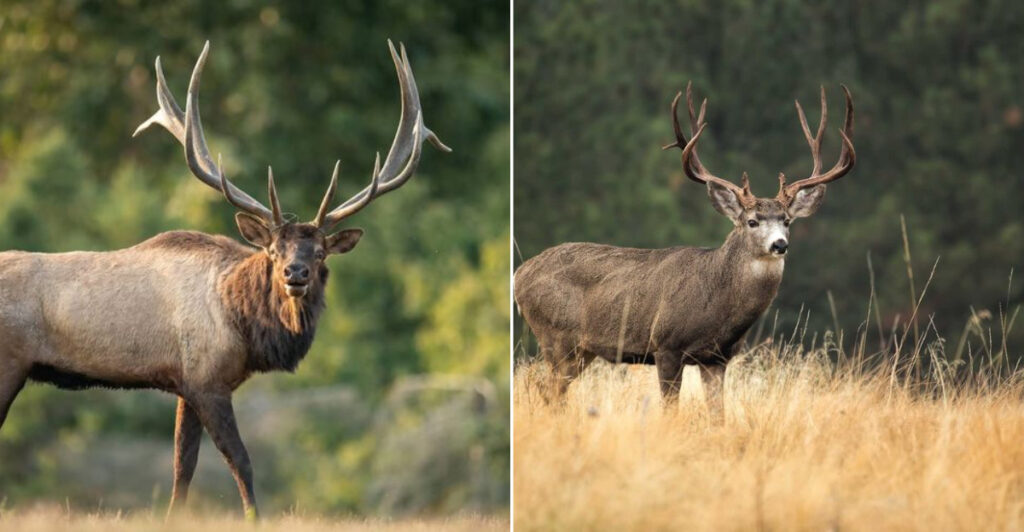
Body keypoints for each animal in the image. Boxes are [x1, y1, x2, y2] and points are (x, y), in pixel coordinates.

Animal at [0, 40, 449, 519]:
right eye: (274, 251)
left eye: (320, 252)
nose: (295, 274)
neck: (243, 324)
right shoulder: (207, 380)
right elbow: (240, 462)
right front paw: (255, 518)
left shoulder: (185, 383)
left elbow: (183, 467)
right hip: (8, 364)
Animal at [513, 83, 854, 415]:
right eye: (752, 221)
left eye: (786, 221)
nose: (780, 244)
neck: (719, 306)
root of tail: (519, 275)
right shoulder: (666, 345)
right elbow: (670, 410)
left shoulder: (717, 358)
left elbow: (718, 416)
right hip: (556, 336)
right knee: (548, 389)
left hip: (580, 349)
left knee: (552, 392)